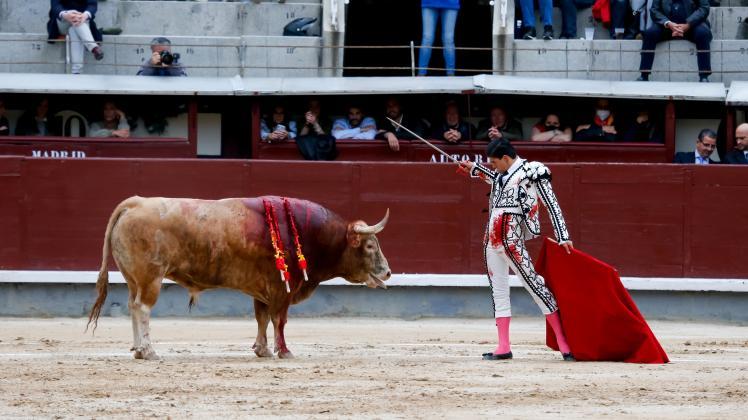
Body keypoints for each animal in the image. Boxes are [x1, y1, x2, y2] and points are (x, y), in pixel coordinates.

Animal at [87, 195, 392, 360]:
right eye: (369, 246)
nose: (388, 271)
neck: (309, 234)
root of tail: (135, 204)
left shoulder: (263, 289)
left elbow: (262, 318)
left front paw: (262, 349)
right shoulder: (283, 289)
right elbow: (279, 320)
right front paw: (284, 351)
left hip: (134, 279)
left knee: (132, 306)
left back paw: (138, 349)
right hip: (151, 278)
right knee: (143, 308)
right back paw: (149, 351)